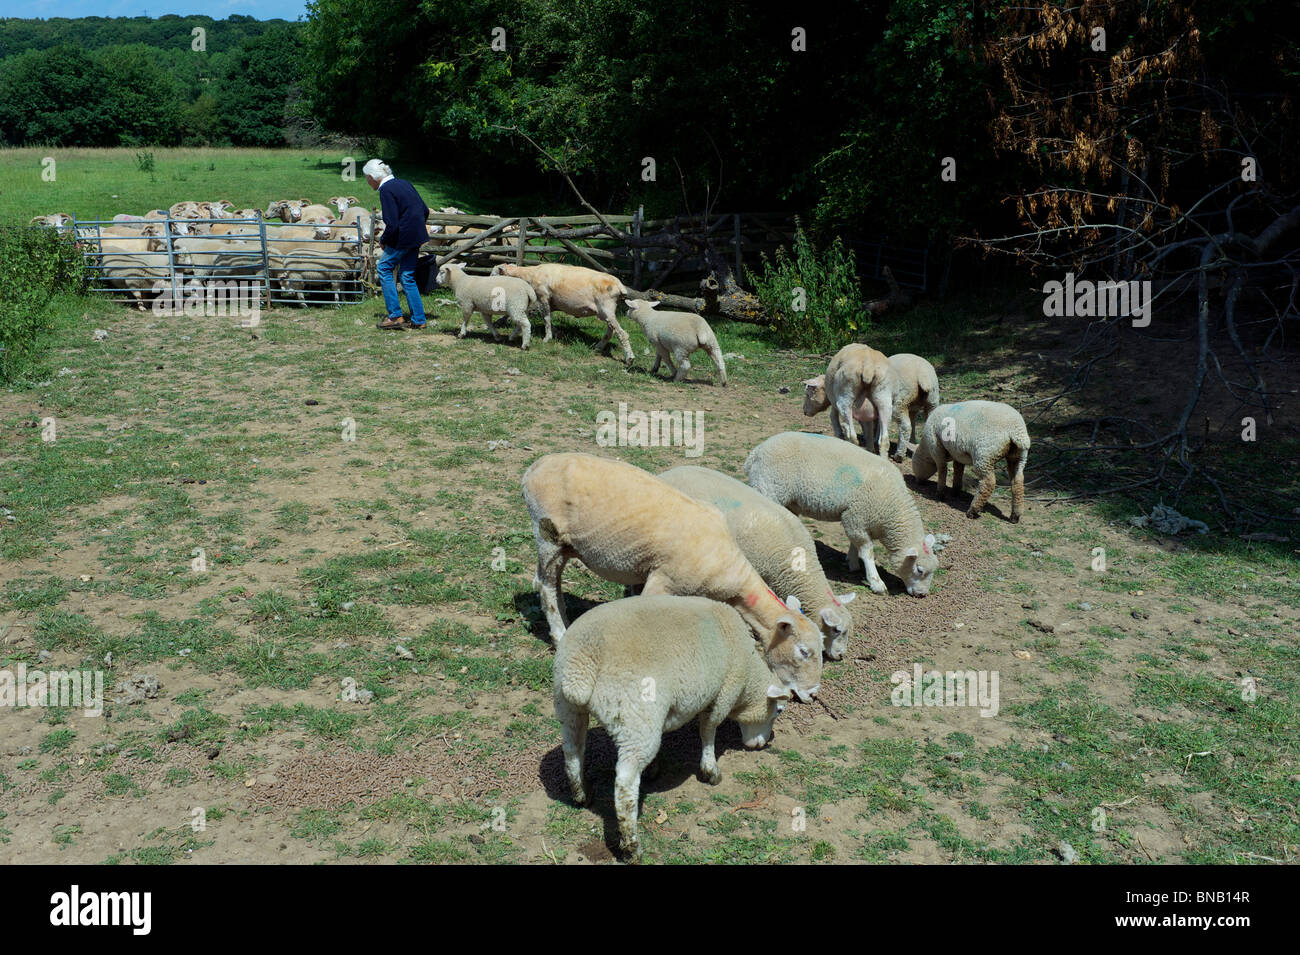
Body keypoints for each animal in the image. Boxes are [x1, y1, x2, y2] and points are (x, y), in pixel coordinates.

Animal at [489, 262, 635, 364]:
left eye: (493, 275)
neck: (530, 274)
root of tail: (619, 285)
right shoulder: (546, 302)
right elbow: (539, 318)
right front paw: (557, 333)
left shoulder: (543, 297)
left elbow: (546, 319)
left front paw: (547, 338)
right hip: (606, 312)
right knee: (611, 331)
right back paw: (598, 347)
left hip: (606, 308)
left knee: (622, 334)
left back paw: (629, 358)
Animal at [521, 452, 823, 701]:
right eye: (803, 652)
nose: (811, 694)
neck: (732, 576)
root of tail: (534, 468)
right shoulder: (664, 581)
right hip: (547, 534)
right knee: (546, 586)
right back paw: (559, 634)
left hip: (565, 545)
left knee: (553, 583)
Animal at [554, 594, 790, 858]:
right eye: (778, 710)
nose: (762, 744)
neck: (748, 675)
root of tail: (581, 666)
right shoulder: (722, 694)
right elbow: (708, 730)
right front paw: (710, 770)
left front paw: (655, 767)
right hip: (636, 717)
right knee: (625, 784)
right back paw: (632, 846)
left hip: (569, 707)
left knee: (572, 752)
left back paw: (582, 794)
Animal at [745, 432, 939, 597]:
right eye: (919, 570)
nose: (922, 594)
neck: (893, 510)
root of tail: (757, 451)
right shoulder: (855, 517)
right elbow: (867, 552)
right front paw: (876, 582)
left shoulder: (856, 520)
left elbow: (855, 544)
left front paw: (851, 562)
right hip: (768, 490)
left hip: (788, 502)